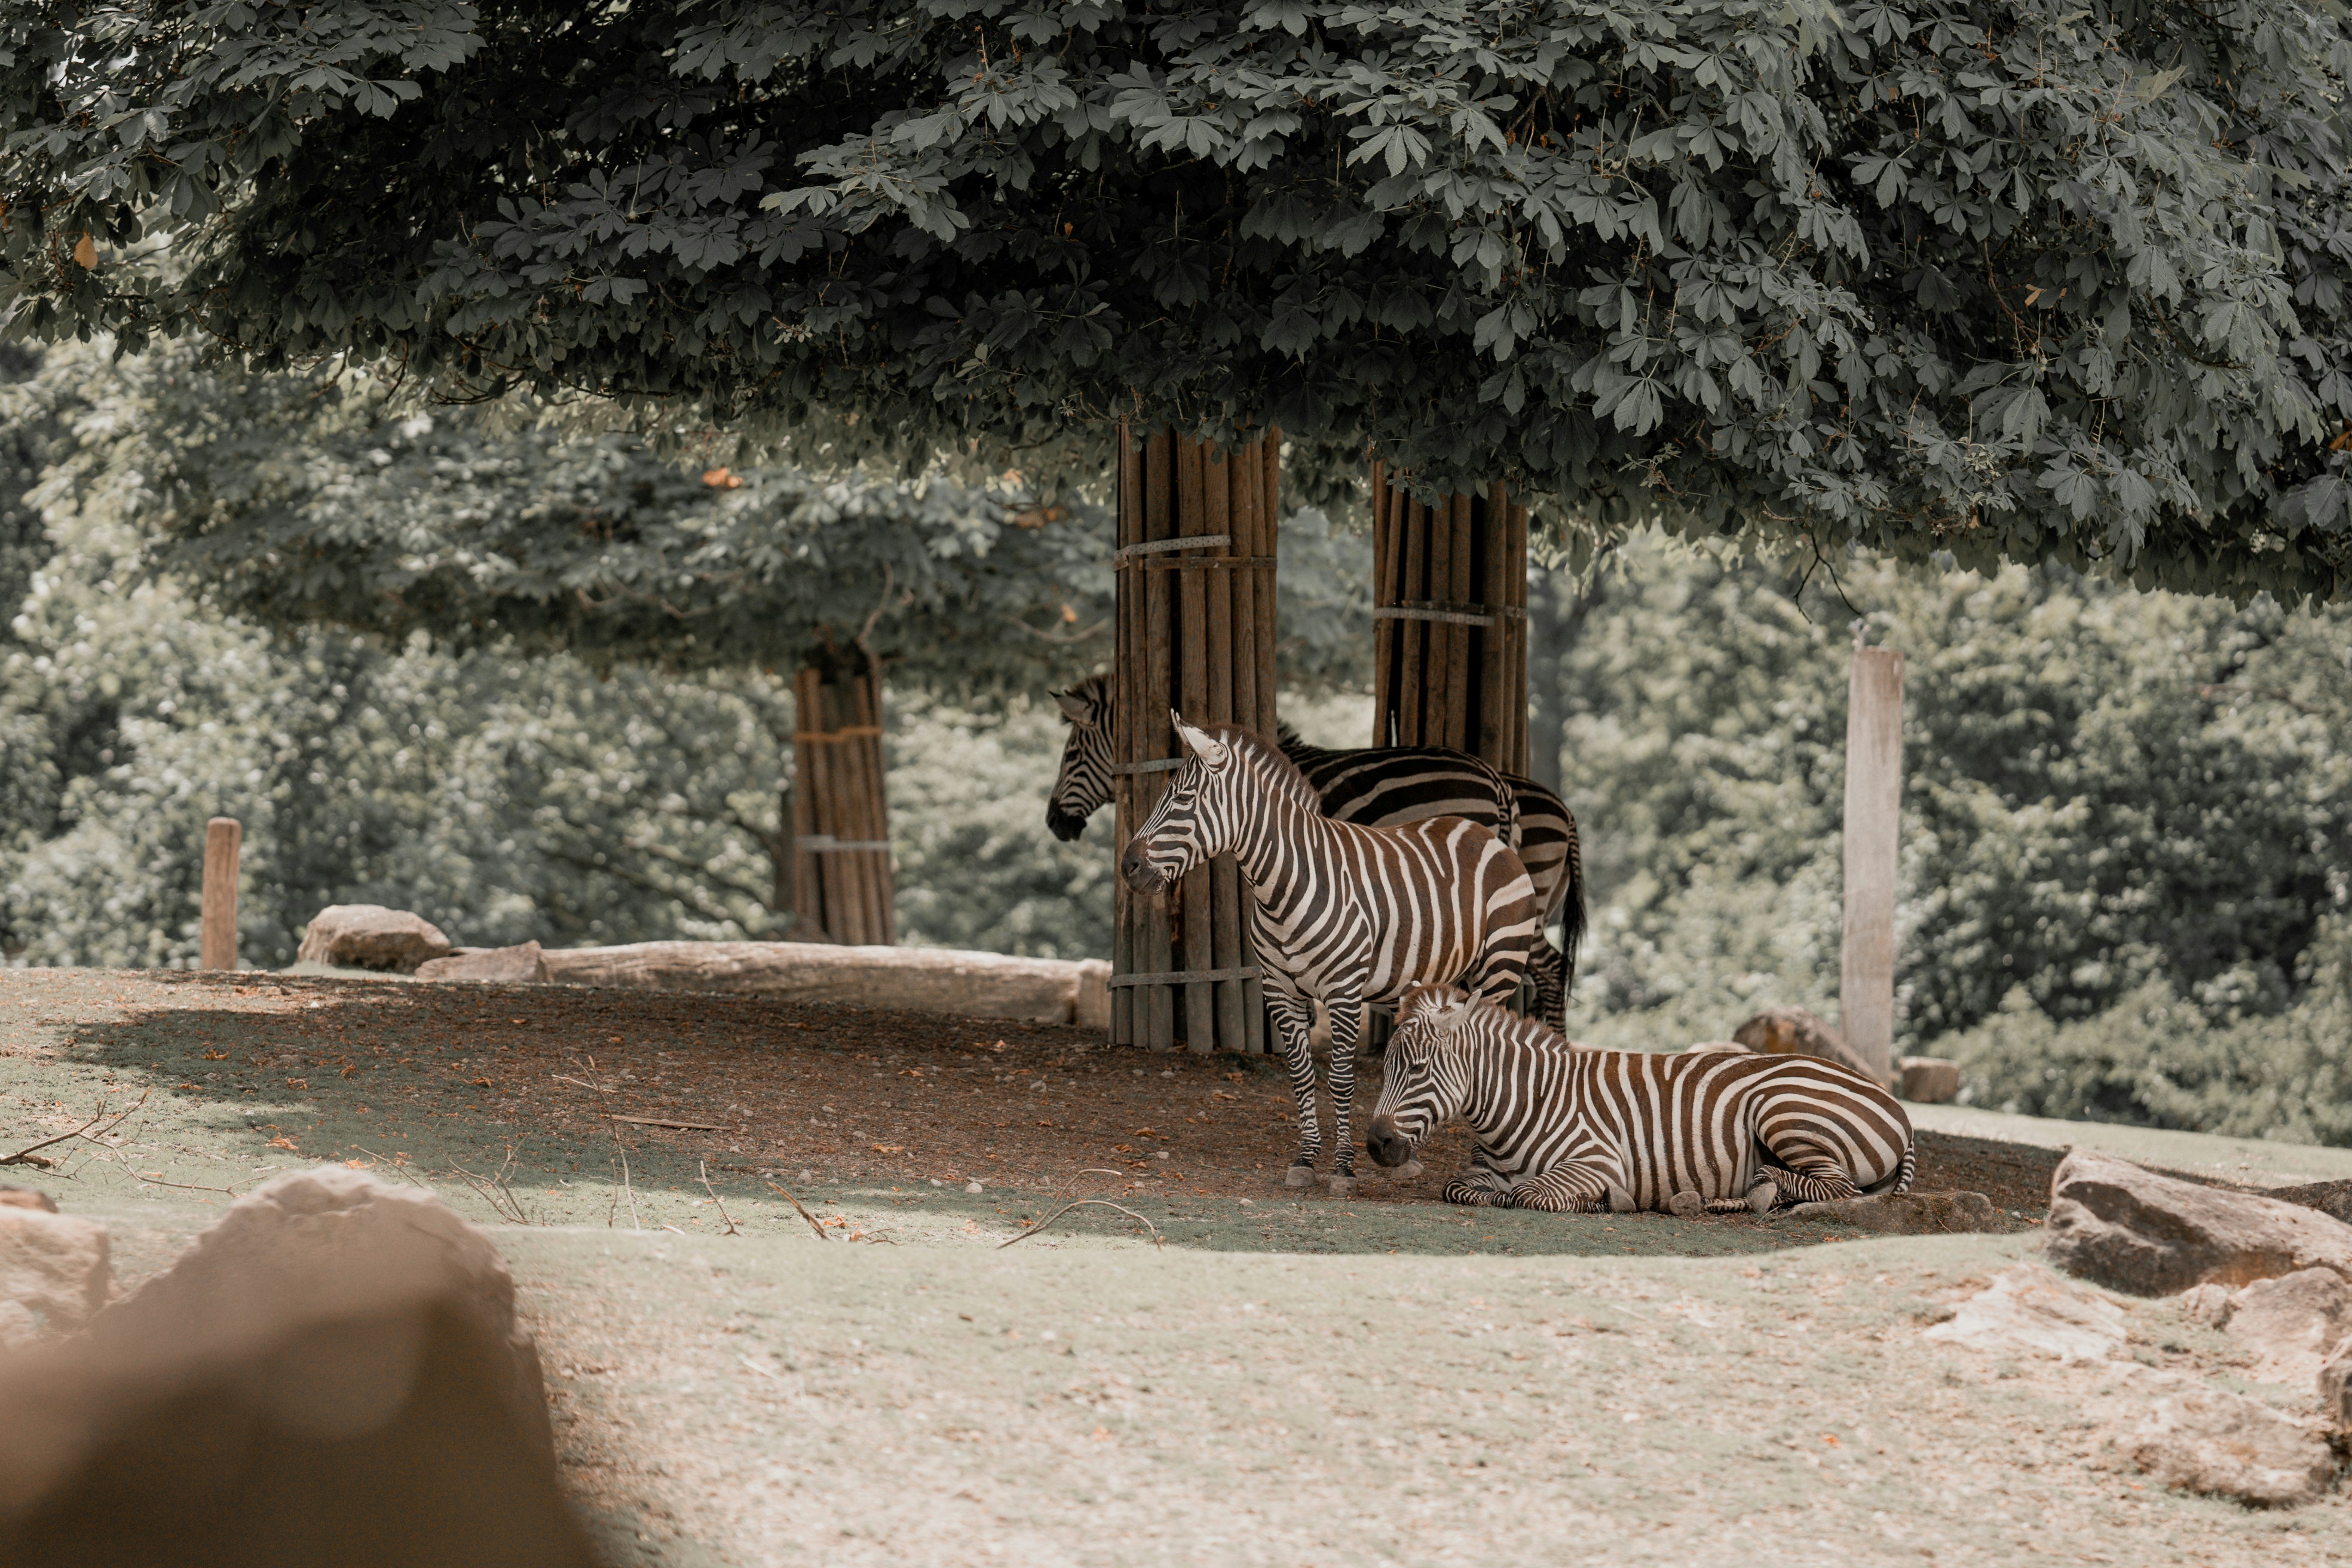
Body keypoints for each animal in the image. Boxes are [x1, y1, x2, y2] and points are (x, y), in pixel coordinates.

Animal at [1121, 715, 1540, 1193]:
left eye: (1184, 799)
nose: (1128, 867)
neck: (1283, 886)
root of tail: (1485, 833)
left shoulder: (1343, 990)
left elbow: (1340, 1079)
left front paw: (1343, 1169)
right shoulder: (1280, 989)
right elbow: (1302, 1074)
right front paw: (1306, 1159)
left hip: (1500, 967)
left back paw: (1481, 1165)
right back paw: (1414, 1159)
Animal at [1363, 985, 1916, 1214]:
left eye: (1417, 1070)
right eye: (1385, 1069)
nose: (1375, 1146)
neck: (1525, 1103)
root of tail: (1897, 1107)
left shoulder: (1598, 1161)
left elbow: (1529, 1194)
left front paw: (1602, 1203)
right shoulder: (1478, 1173)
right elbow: (1457, 1188)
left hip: (1782, 1112)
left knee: (1835, 1186)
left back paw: (1763, 1185)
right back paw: (1720, 1200)